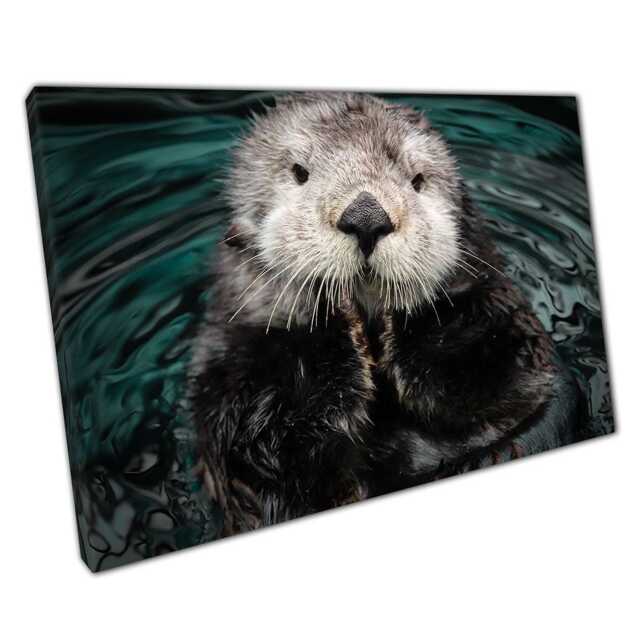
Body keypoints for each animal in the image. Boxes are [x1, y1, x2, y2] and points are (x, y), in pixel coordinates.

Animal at [187, 92, 580, 536]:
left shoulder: (508, 329)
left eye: (417, 180)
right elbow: (268, 450)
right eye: (300, 173)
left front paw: (404, 307)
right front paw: (333, 312)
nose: (366, 218)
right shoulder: (228, 376)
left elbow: (499, 376)